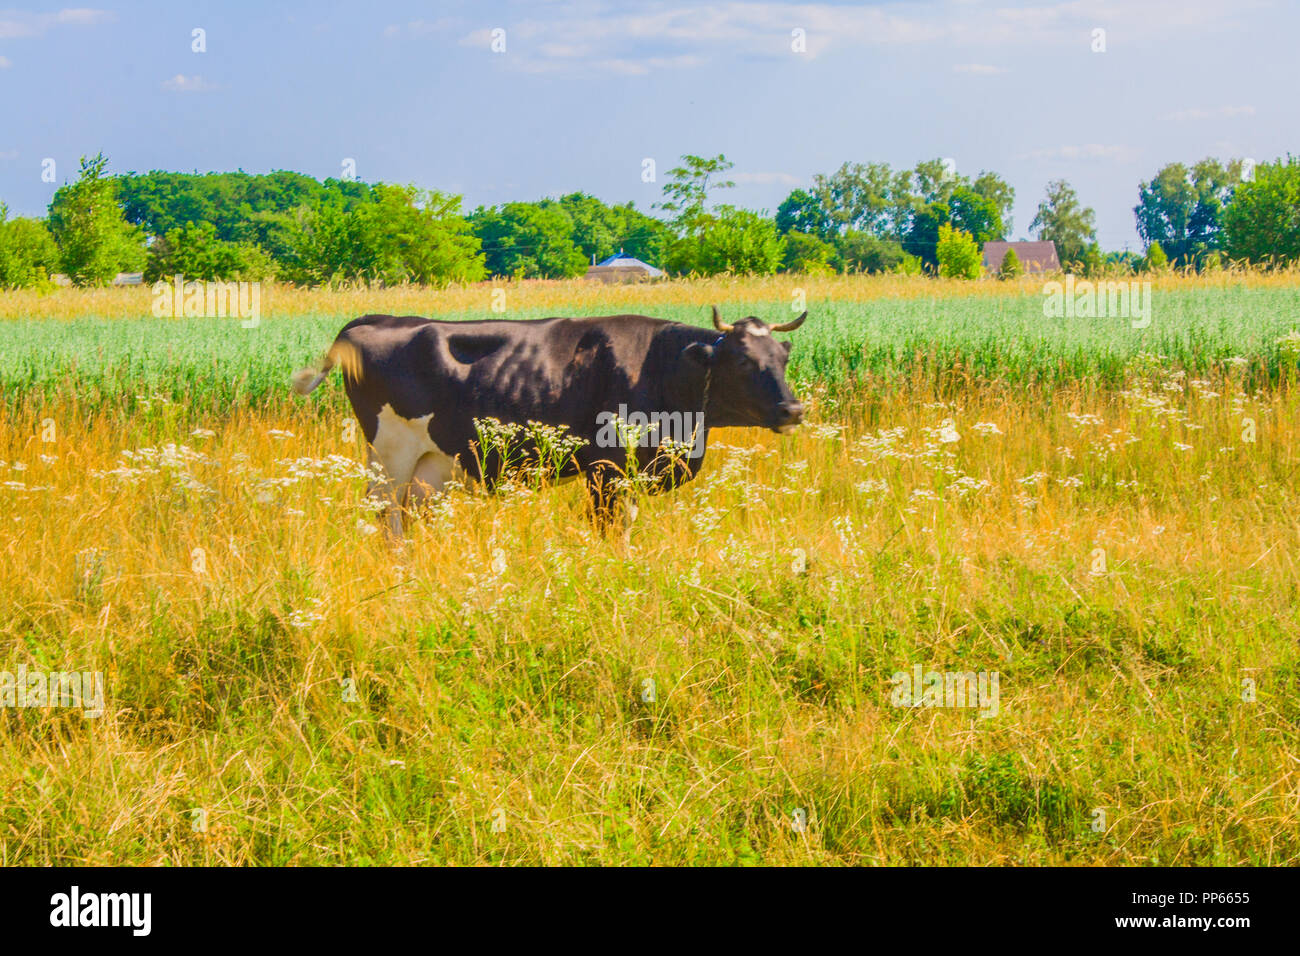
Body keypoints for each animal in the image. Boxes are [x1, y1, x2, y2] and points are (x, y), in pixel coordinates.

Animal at [291, 306, 807, 536]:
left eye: (782, 357)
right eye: (743, 360)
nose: (793, 410)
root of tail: (377, 318)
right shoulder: (607, 471)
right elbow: (611, 528)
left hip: (432, 463)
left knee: (415, 513)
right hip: (389, 454)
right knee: (385, 517)